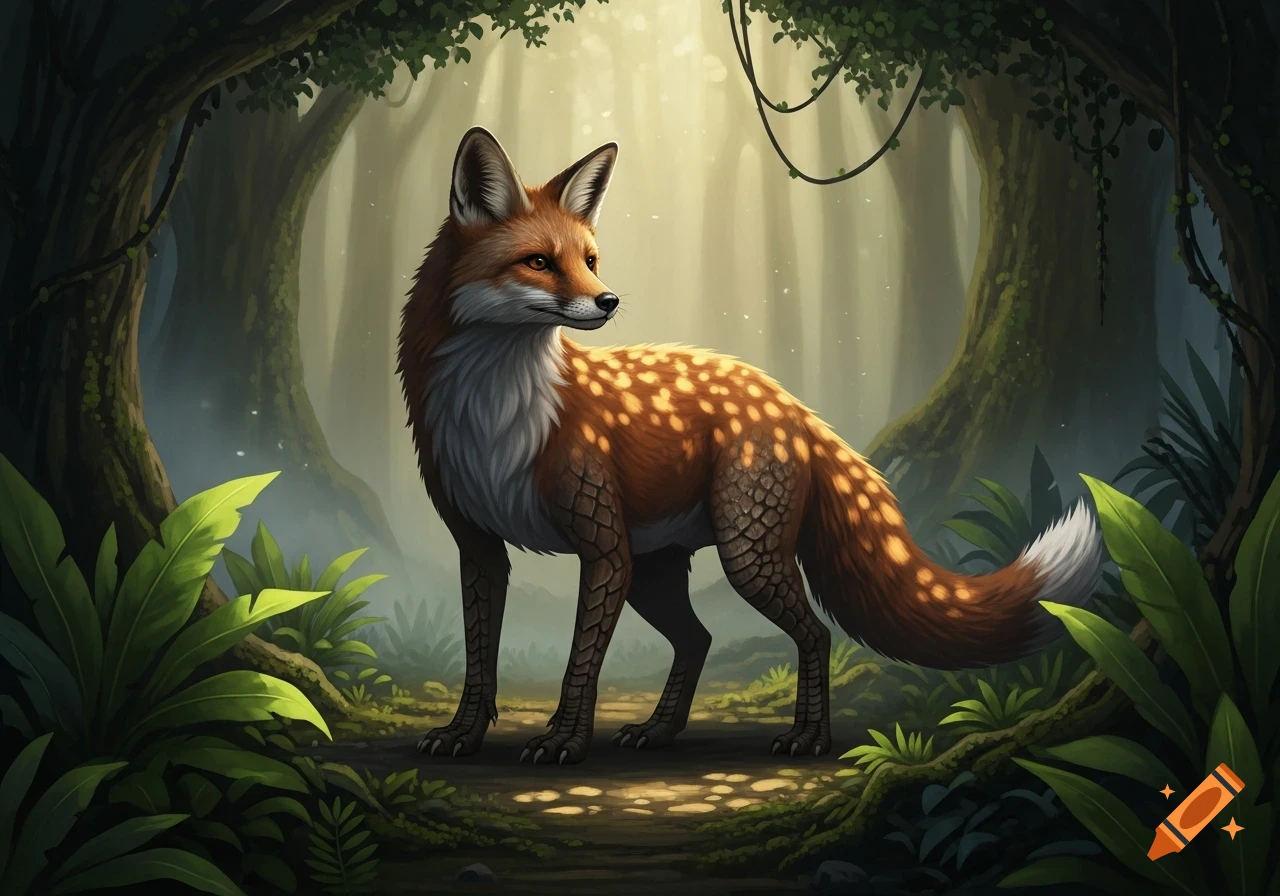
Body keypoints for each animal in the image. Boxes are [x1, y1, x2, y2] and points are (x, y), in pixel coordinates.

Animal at [396, 127, 1103, 765]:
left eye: (590, 260)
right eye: (539, 261)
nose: (609, 300)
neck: (496, 417)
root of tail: (791, 403)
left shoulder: (602, 548)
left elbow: (580, 664)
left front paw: (565, 741)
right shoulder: (481, 548)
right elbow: (479, 661)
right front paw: (462, 735)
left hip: (742, 555)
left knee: (814, 634)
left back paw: (808, 737)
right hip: (656, 571)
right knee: (698, 640)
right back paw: (661, 731)